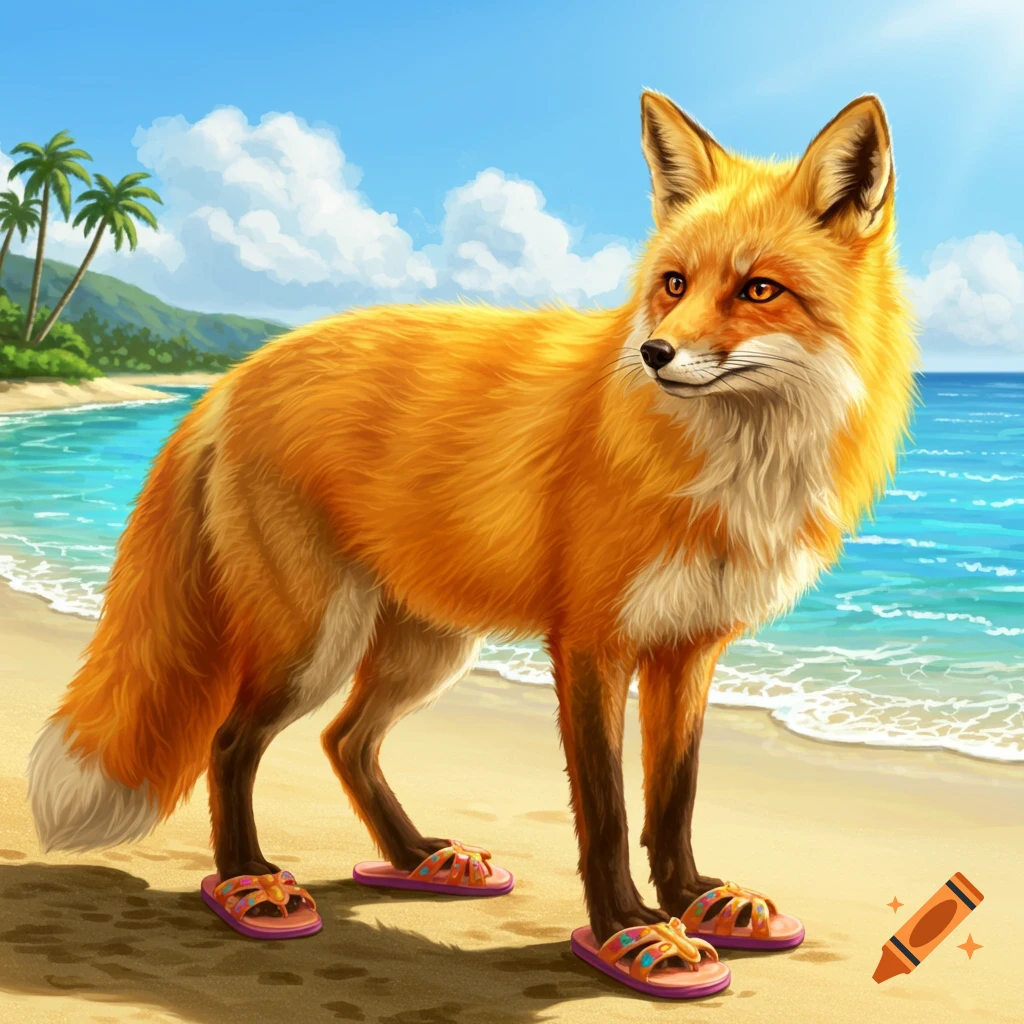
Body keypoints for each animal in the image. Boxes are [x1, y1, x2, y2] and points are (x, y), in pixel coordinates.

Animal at [28, 91, 916, 947]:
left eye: (758, 289)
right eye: (673, 284)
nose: (654, 355)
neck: (735, 469)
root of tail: (234, 376)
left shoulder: (688, 648)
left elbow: (674, 798)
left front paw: (695, 899)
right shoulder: (591, 641)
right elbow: (605, 809)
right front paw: (629, 928)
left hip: (428, 646)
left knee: (345, 741)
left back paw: (415, 858)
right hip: (315, 640)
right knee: (231, 742)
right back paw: (251, 882)